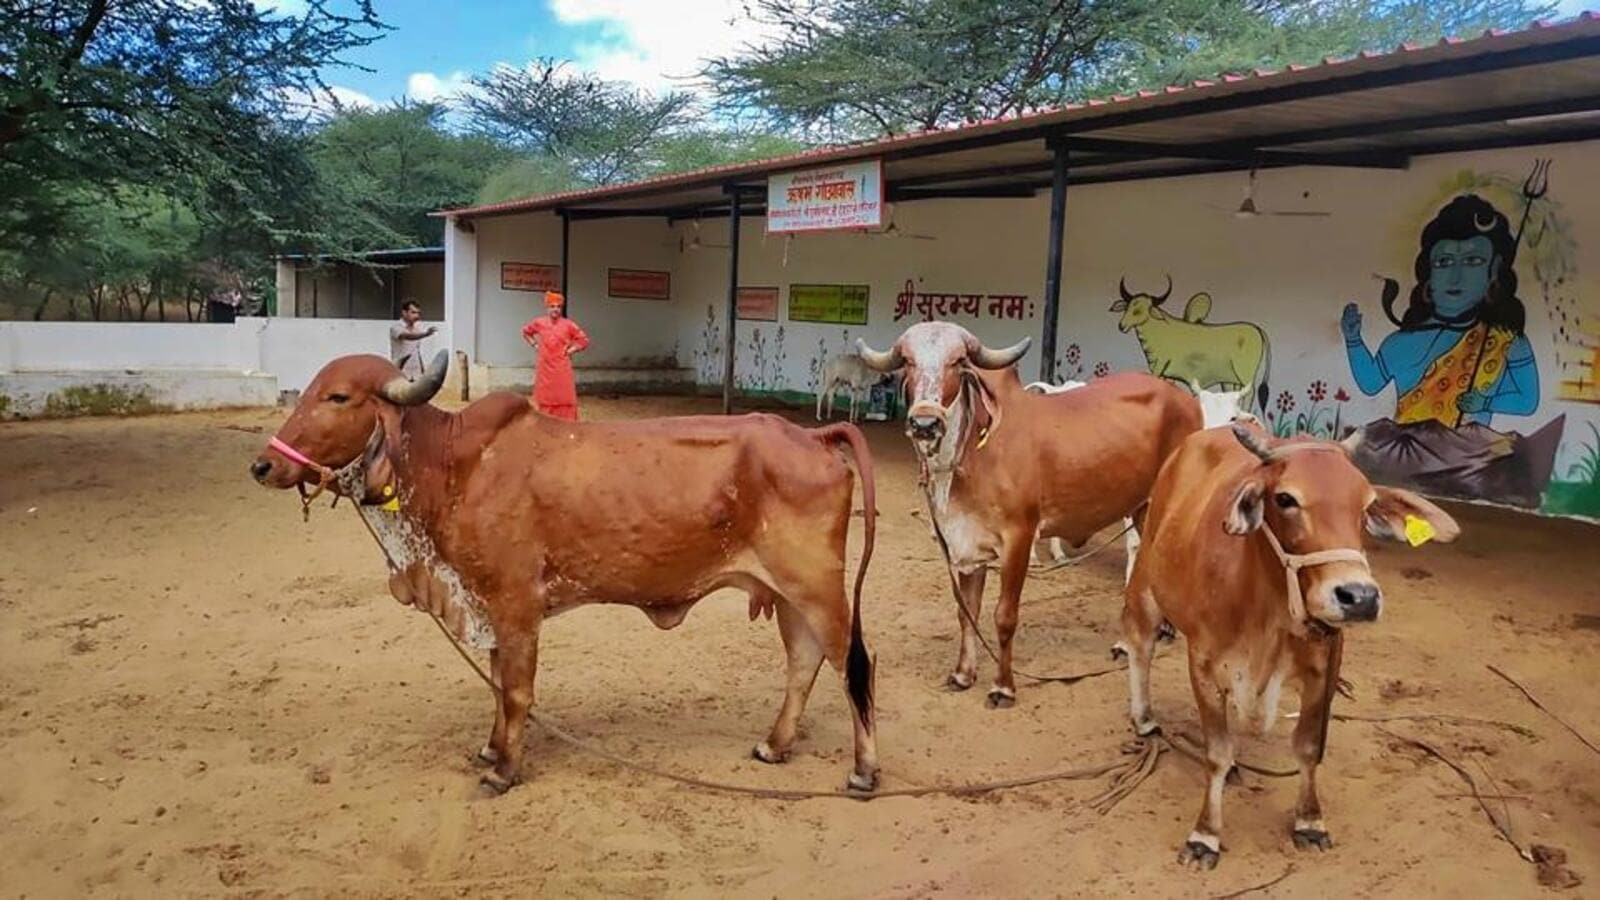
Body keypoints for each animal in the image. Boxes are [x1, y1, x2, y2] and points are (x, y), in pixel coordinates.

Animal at [250, 351, 880, 794]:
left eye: (337, 396)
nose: (263, 464)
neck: (454, 465)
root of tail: (812, 434)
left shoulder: (515, 604)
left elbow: (516, 690)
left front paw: (503, 770)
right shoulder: (486, 604)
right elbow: (497, 685)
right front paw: (491, 748)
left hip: (819, 588)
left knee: (853, 666)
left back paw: (864, 771)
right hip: (788, 594)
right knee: (803, 662)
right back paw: (775, 746)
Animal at [857, 322, 1203, 708]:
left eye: (958, 361)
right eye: (907, 361)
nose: (925, 423)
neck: (969, 453)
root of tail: (1184, 400)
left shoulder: (1018, 539)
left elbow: (1004, 616)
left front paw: (1003, 686)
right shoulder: (967, 545)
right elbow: (967, 612)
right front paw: (963, 674)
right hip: (1142, 509)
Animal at [1111, 276, 1271, 414]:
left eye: (1139, 310)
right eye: (1127, 308)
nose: (1121, 326)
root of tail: (1256, 329)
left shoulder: (1159, 367)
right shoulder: (1166, 374)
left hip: (1245, 374)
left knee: (1250, 392)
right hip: (1231, 379)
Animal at [1120, 422, 1459, 869]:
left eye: (1366, 505)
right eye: (1285, 499)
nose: (1359, 597)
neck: (1270, 613)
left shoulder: (1325, 665)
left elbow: (1309, 747)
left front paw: (1310, 822)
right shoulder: (1204, 664)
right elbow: (1216, 752)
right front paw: (1205, 835)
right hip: (1145, 580)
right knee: (1140, 645)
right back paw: (1144, 718)